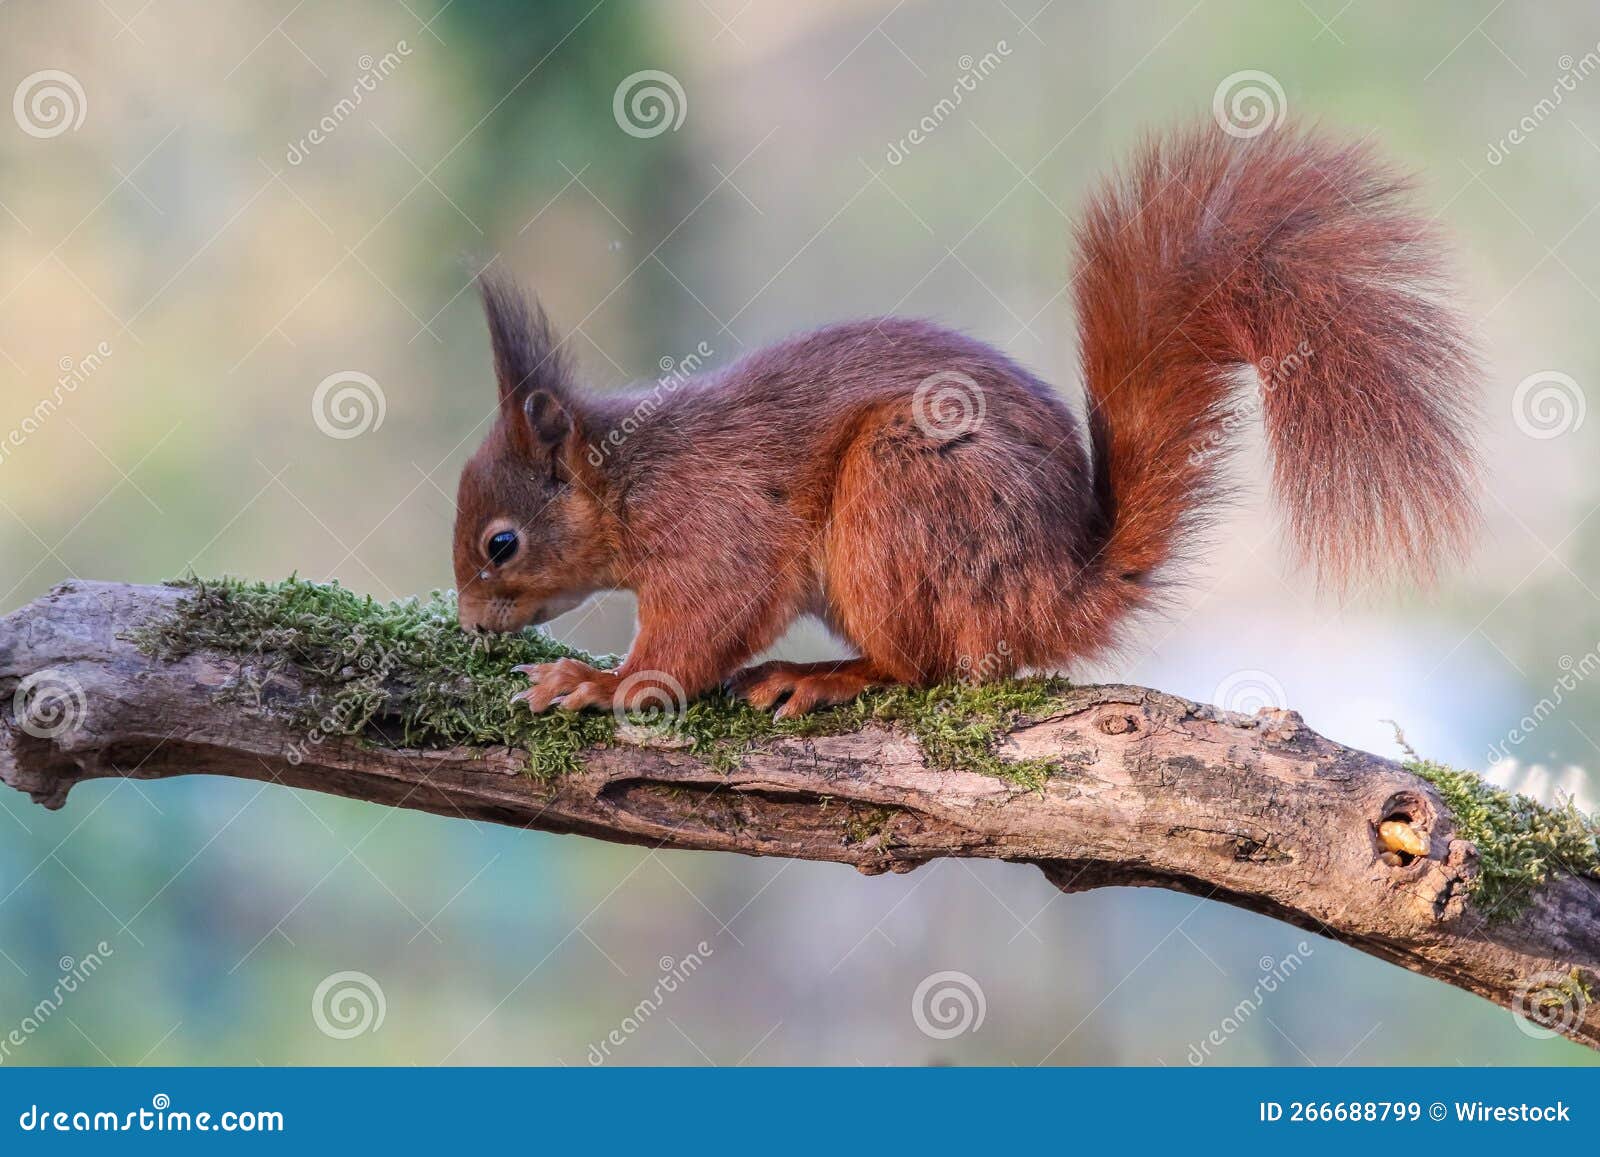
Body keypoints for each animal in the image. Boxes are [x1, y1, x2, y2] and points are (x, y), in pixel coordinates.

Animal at [453, 123, 1480, 719]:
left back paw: (828, 675)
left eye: (501, 543)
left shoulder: (710, 526)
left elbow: (698, 629)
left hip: (902, 494)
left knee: (932, 667)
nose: (466, 624)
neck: (626, 475)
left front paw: (599, 684)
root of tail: (1053, 589)